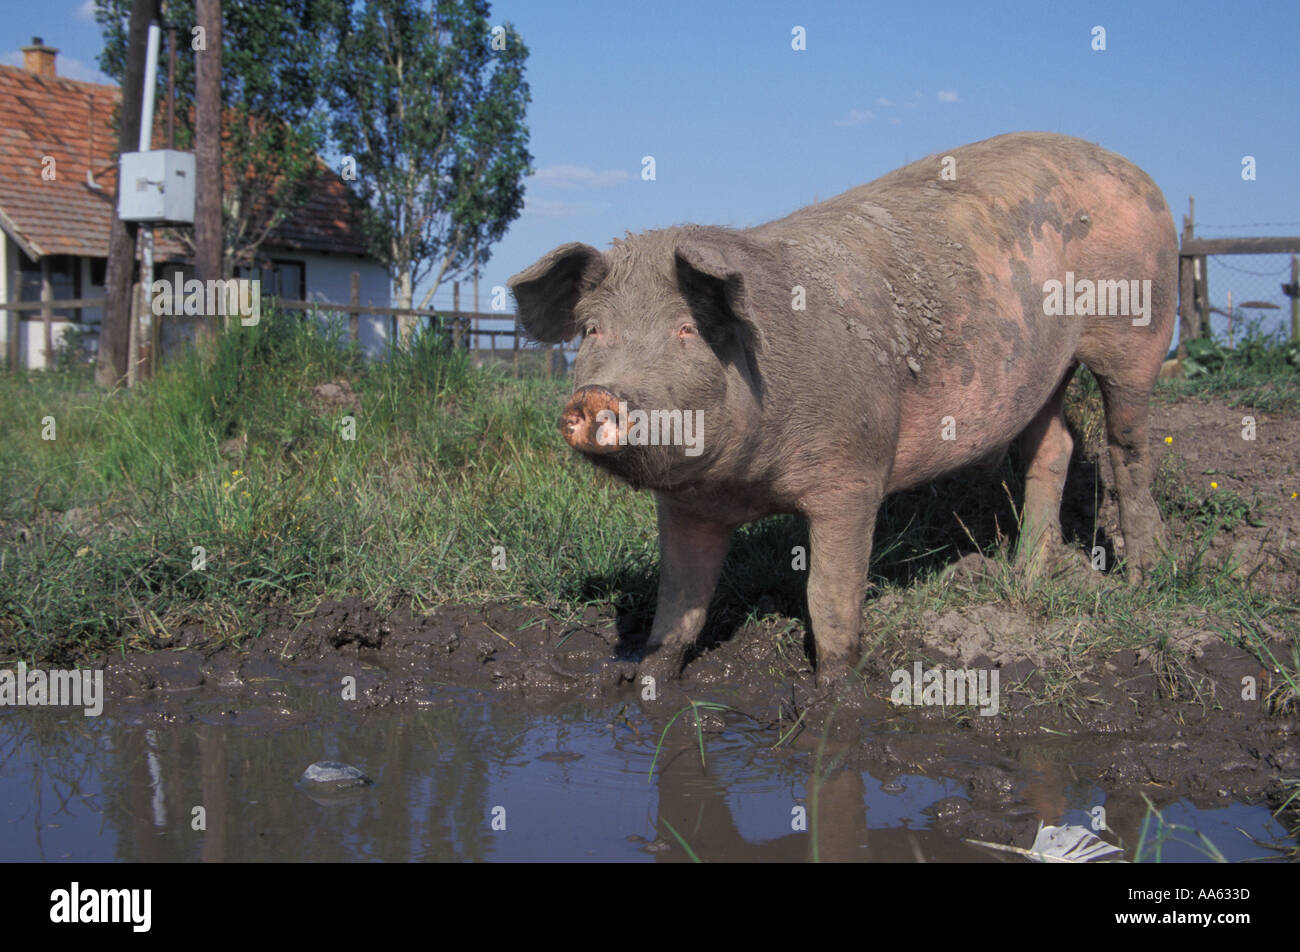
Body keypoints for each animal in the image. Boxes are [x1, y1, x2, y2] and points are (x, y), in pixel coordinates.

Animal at [509, 132, 1176, 686]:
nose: (598, 394)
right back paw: (1025, 574)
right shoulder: (687, 506)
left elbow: (829, 596)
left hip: (1137, 329)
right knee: (1053, 444)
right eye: (593, 331)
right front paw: (647, 682)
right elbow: (678, 608)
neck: (744, 486)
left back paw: (1143, 579)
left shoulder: (853, 473)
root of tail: (1133, 168)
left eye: (686, 331)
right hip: (1041, 374)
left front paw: (835, 690)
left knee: (1127, 445)